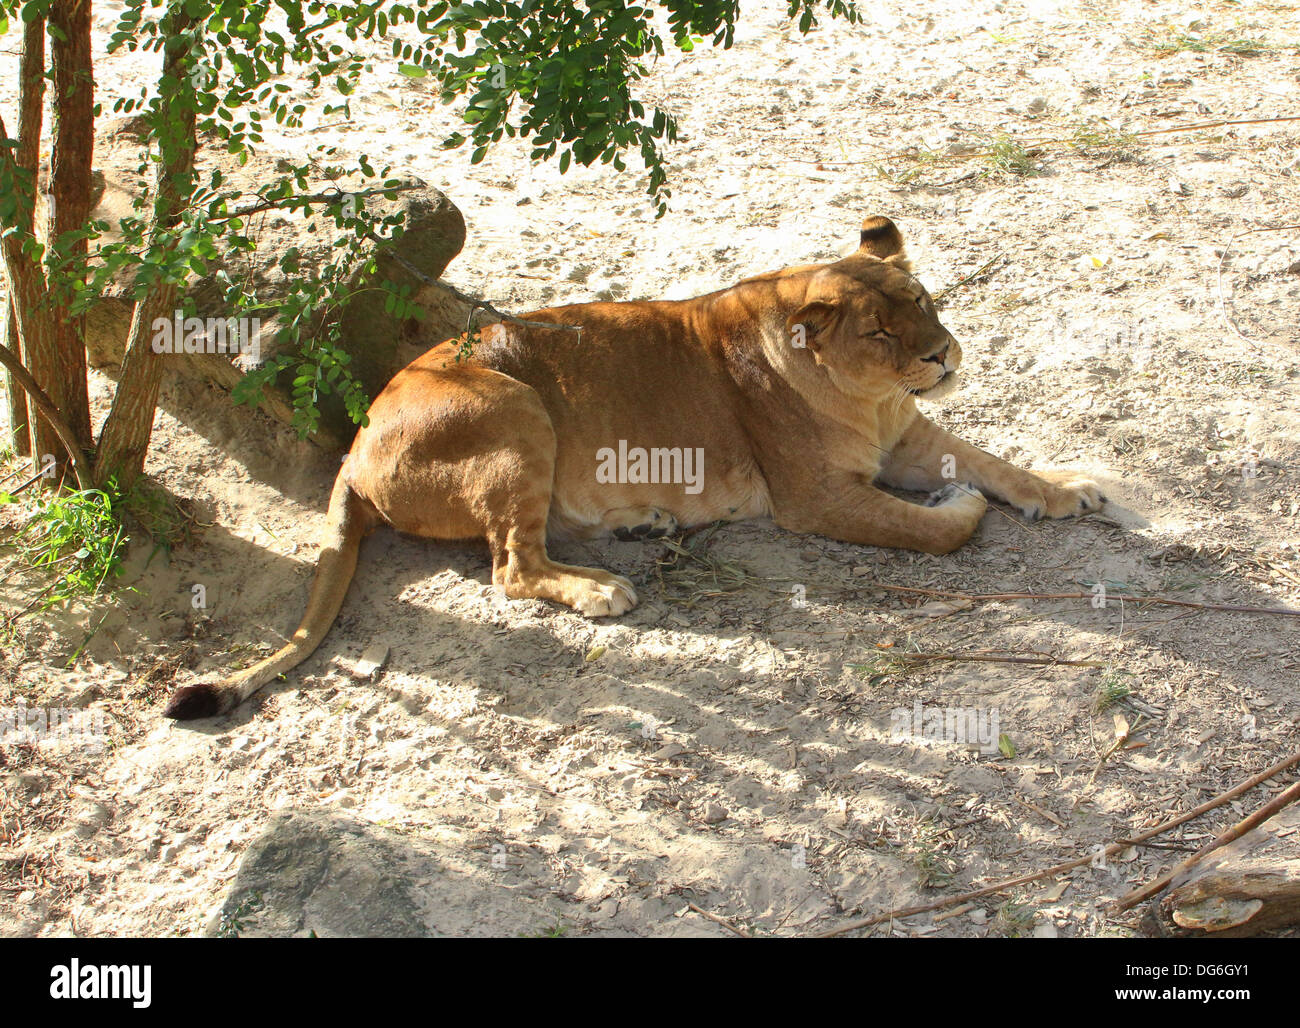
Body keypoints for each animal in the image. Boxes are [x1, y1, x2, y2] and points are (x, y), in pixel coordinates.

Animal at [164, 216, 1105, 719]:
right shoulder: (814, 499)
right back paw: (600, 589)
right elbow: (937, 531)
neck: (869, 397)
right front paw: (959, 506)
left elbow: (999, 461)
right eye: (879, 331)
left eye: (924, 302)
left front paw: (1070, 488)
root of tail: (357, 442)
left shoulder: (907, 434)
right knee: (510, 568)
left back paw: (641, 523)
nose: (942, 355)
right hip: (513, 408)